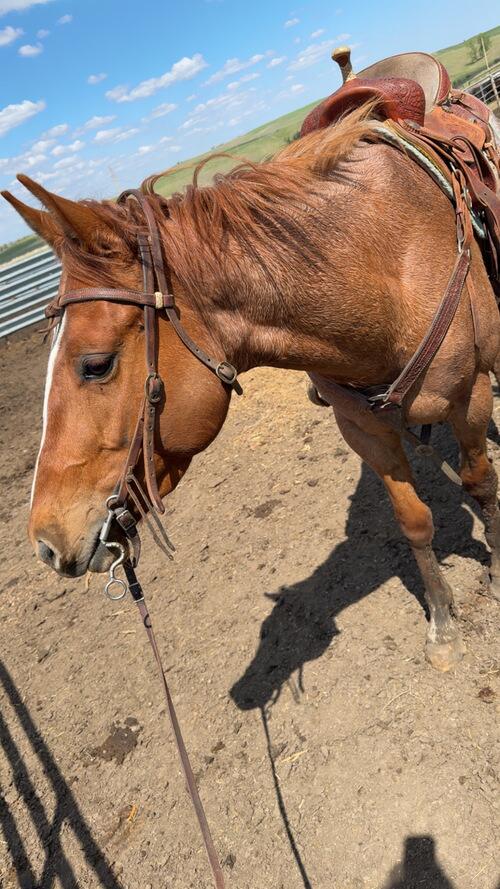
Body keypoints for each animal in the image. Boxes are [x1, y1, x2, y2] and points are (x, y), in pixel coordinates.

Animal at [3, 105, 500, 675]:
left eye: (95, 365)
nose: (44, 541)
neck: (385, 268)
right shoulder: (362, 427)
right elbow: (414, 521)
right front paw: (442, 622)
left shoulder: (471, 397)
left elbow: (480, 484)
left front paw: (494, 573)